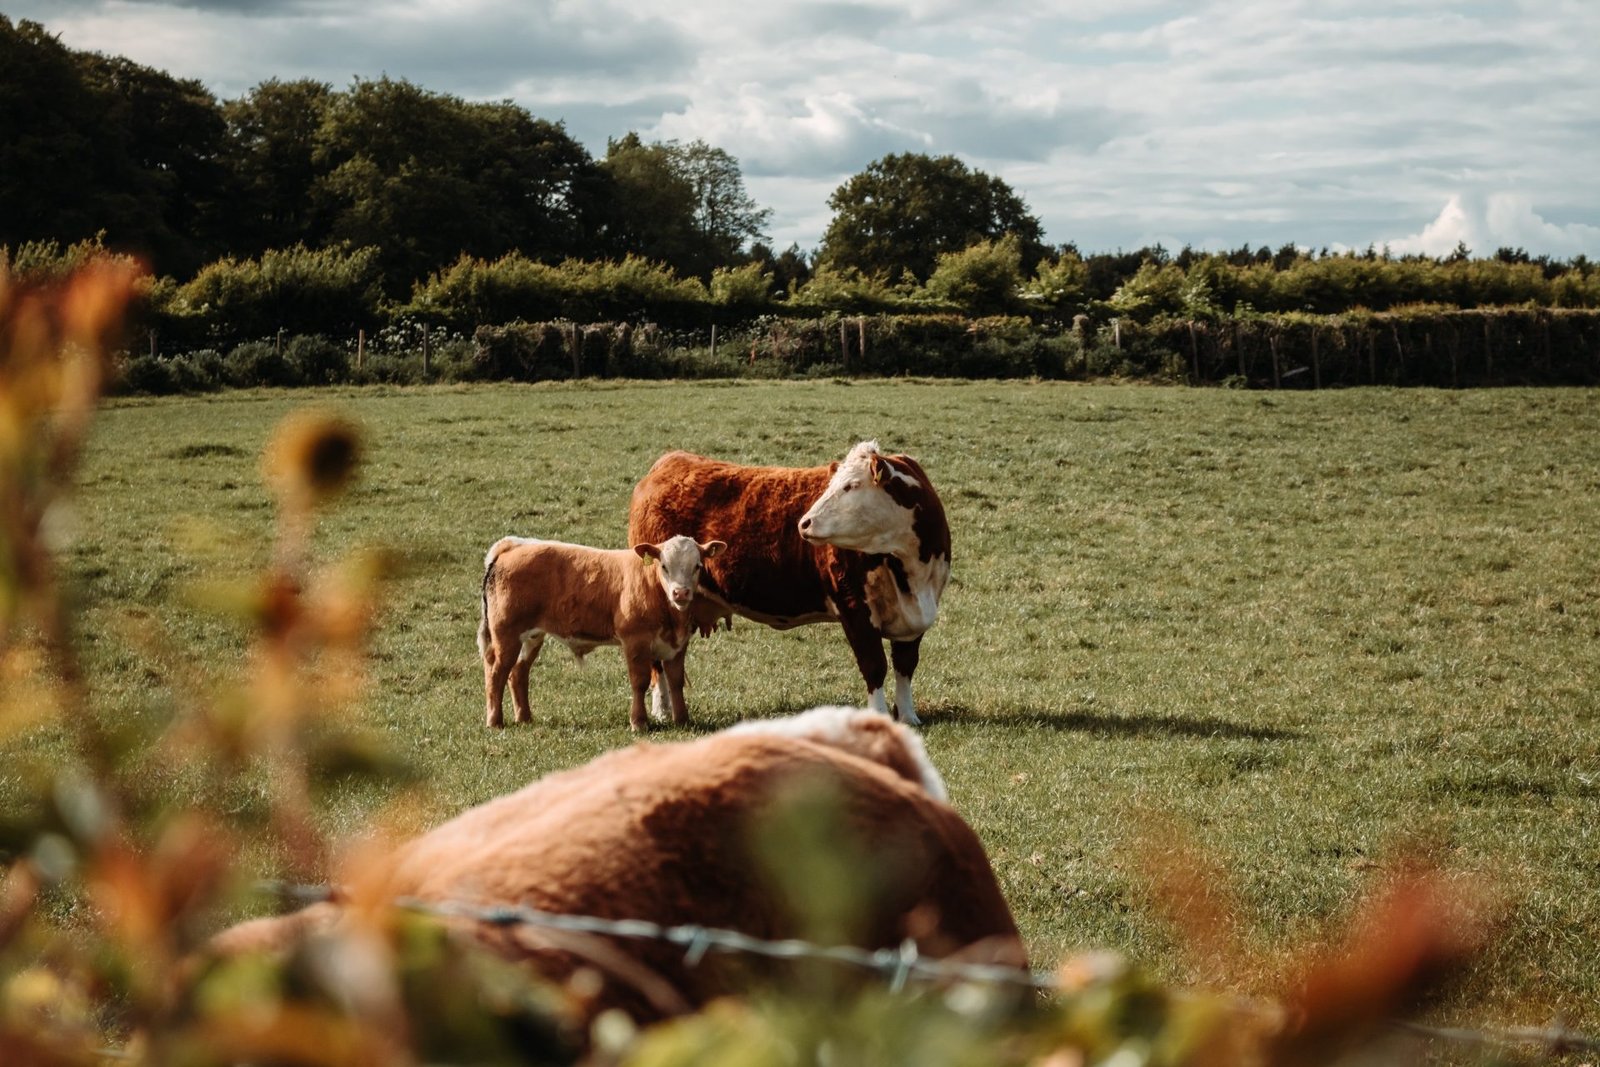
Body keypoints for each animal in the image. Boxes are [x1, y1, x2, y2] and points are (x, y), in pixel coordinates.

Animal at [478, 534, 726, 730]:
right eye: (664, 566)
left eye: (697, 566)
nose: (680, 593)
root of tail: (515, 545)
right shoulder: (635, 641)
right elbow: (640, 681)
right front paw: (639, 722)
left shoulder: (678, 644)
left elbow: (676, 681)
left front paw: (682, 720)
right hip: (506, 634)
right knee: (497, 672)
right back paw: (495, 721)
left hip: (532, 636)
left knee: (518, 672)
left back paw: (525, 718)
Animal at [626, 440, 950, 726]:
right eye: (832, 485)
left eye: (851, 485)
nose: (804, 523)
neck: (909, 570)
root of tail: (670, 461)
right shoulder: (854, 608)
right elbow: (874, 666)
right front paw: (880, 716)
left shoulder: (916, 617)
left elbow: (905, 666)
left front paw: (908, 716)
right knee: (658, 663)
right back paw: (662, 710)